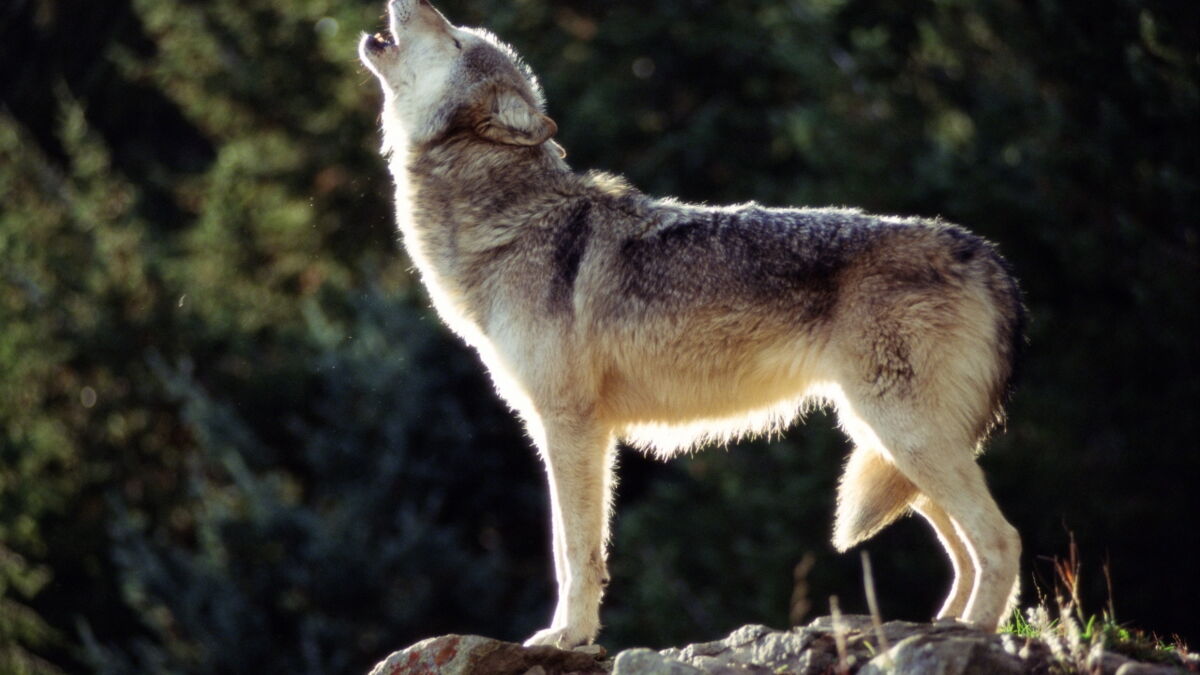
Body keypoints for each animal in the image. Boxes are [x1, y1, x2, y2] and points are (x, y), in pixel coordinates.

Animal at [360, 0, 1025, 649]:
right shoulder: (573, 428)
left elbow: (573, 551)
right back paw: (942, 628)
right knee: (966, 549)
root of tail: (990, 256)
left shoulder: (571, 426)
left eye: (456, 40)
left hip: (904, 436)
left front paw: (567, 636)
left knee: (1002, 539)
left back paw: (971, 632)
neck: (514, 222)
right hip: (889, 444)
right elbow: (579, 549)